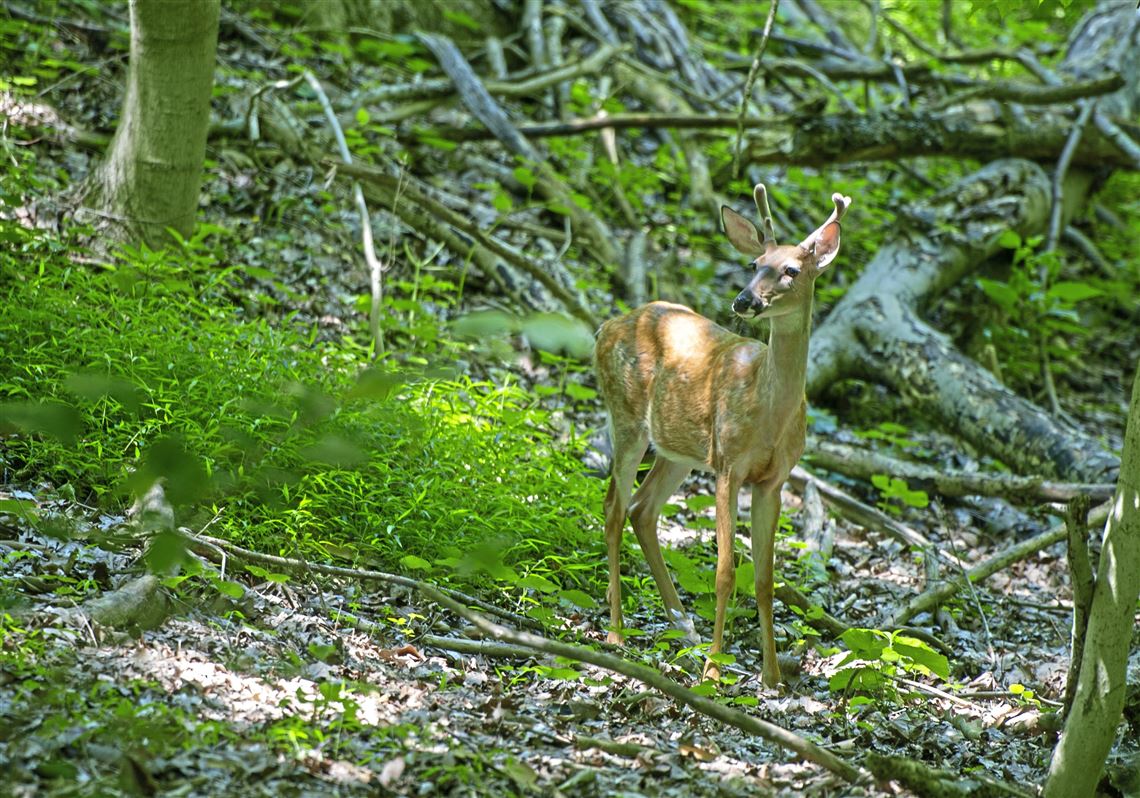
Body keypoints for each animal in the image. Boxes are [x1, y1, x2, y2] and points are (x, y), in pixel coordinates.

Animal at [594, 184, 849, 688]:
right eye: (754, 264)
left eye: (792, 270)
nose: (743, 300)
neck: (770, 414)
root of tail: (605, 327)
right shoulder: (729, 465)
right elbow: (725, 571)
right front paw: (713, 671)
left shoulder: (774, 479)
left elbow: (766, 578)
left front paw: (772, 676)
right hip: (626, 416)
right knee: (613, 508)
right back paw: (616, 632)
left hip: (679, 450)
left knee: (641, 509)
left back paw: (682, 626)